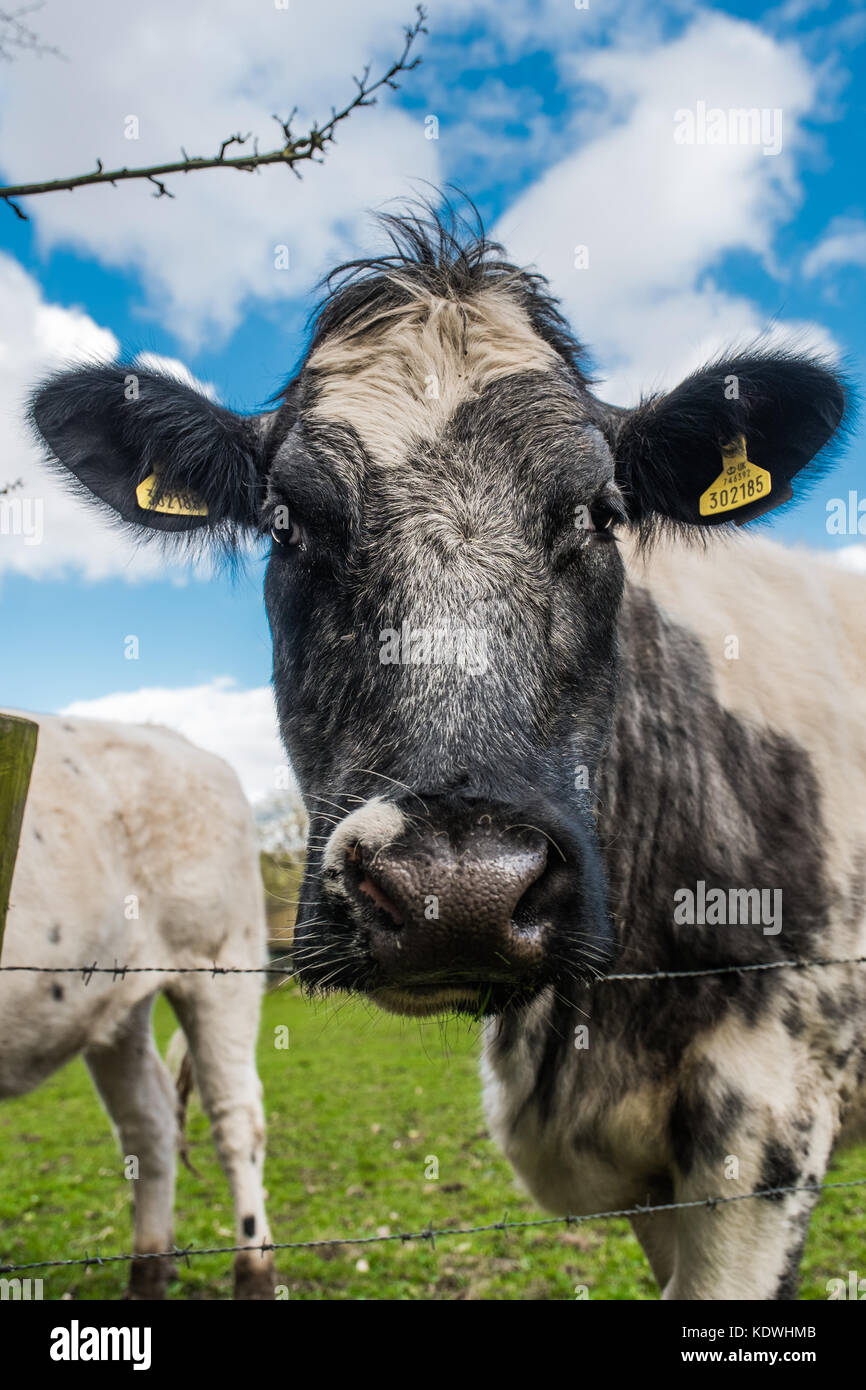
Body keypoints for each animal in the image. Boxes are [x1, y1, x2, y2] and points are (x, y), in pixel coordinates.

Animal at [0, 712, 275, 1300]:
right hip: (115, 998)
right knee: (148, 1118)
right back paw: (149, 1269)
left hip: (221, 968)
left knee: (236, 1119)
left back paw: (254, 1271)